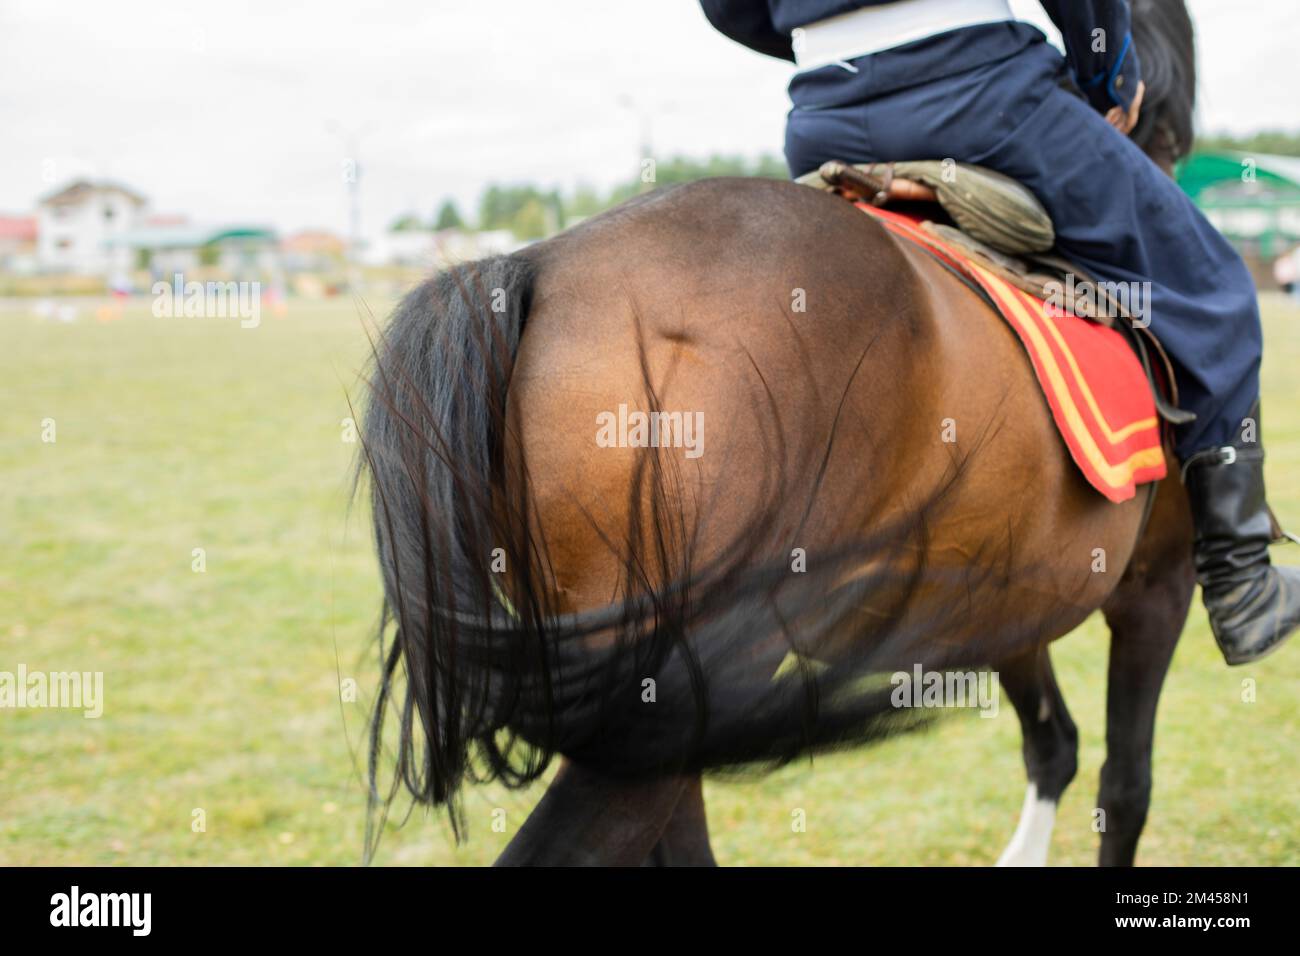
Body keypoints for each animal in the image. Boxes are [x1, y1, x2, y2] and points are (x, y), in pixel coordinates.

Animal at [358, 0, 1199, 866]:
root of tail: (541, 265)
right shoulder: (1157, 586)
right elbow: (1124, 788)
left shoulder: (1013, 599)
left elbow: (1054, 747)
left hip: (654, 702)